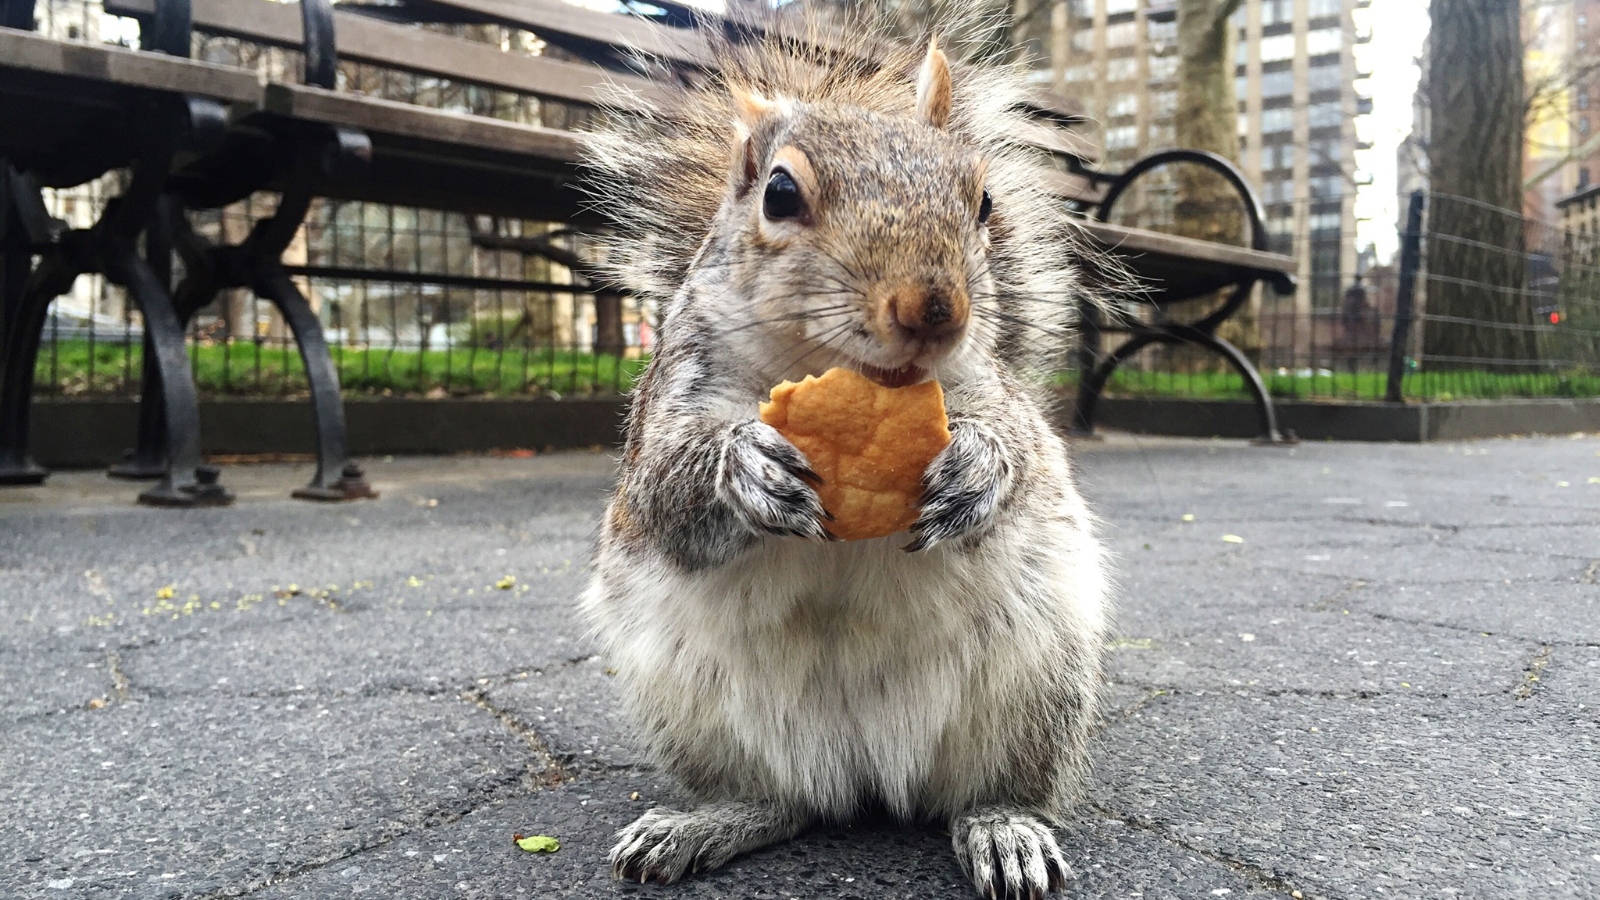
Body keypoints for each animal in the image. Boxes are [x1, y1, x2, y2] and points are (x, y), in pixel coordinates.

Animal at [579, 7, 1111, 898]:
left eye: (984, 201)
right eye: (780, 193)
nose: (934, 307)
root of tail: (865, 773)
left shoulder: (994, 391)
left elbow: (1024, 451)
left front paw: (974, 469)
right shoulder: (670, 396)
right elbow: (662, 494)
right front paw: (745, 469)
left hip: (1037, 686)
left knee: (992, 789)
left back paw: (1005, 829)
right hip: (690, 707)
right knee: (784, 804)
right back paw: (705, 822)